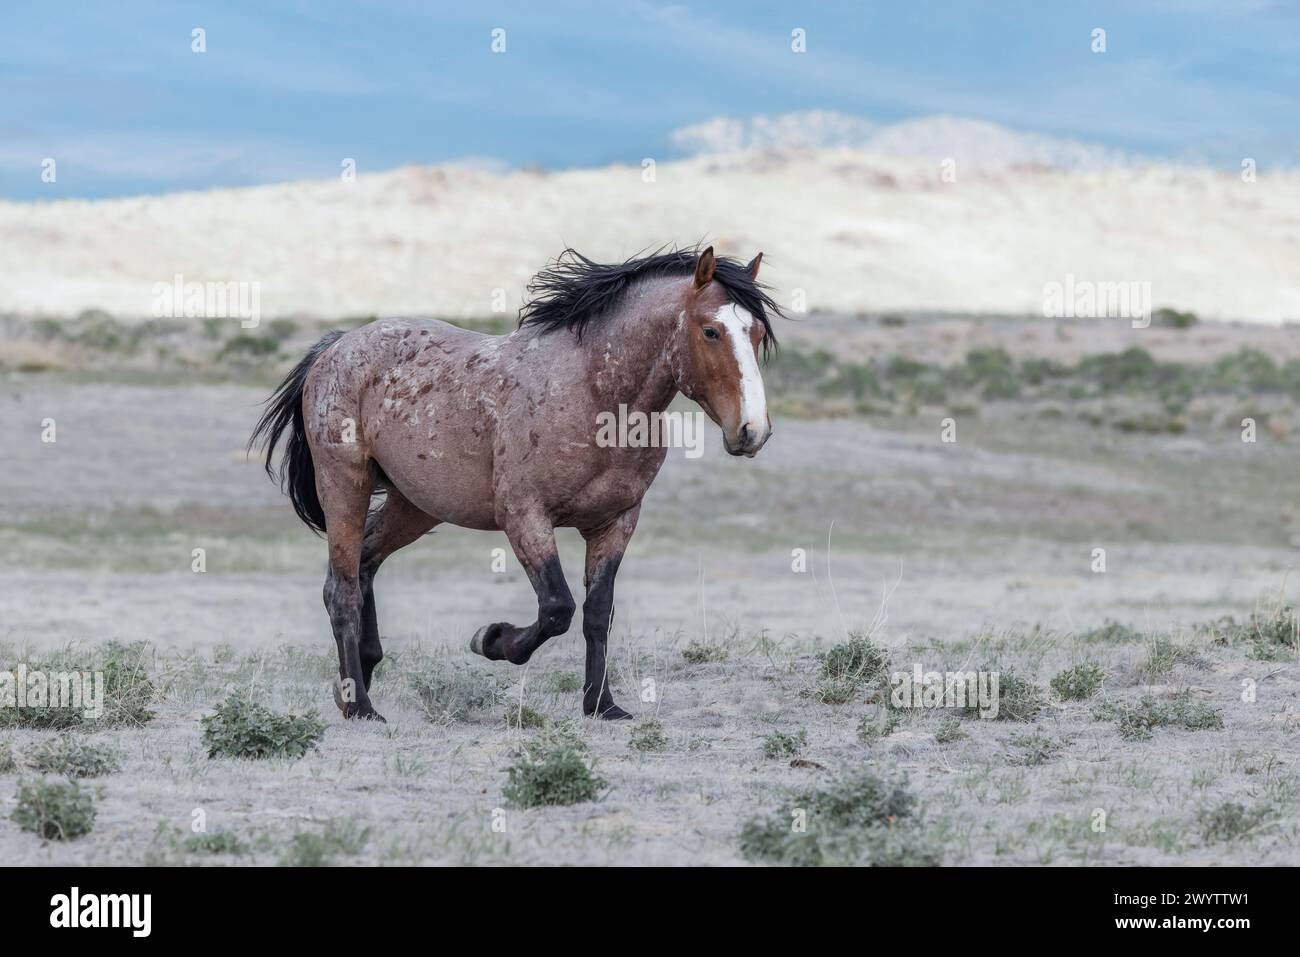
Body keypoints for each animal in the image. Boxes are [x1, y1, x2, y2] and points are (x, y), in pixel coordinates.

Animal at [250, 246, 781, 721]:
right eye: (710, 330)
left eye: (756, 332)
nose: (751, 431)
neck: (594, 391)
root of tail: (338, 345)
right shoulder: (525, 517)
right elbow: (557, 608)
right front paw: (492, 640)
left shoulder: (616, 523)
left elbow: (597, 612)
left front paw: (601, 705)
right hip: (346, 485)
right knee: (340, 589)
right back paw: (360, 705)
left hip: (414, 505)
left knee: (364, 562)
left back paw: (359, 673)